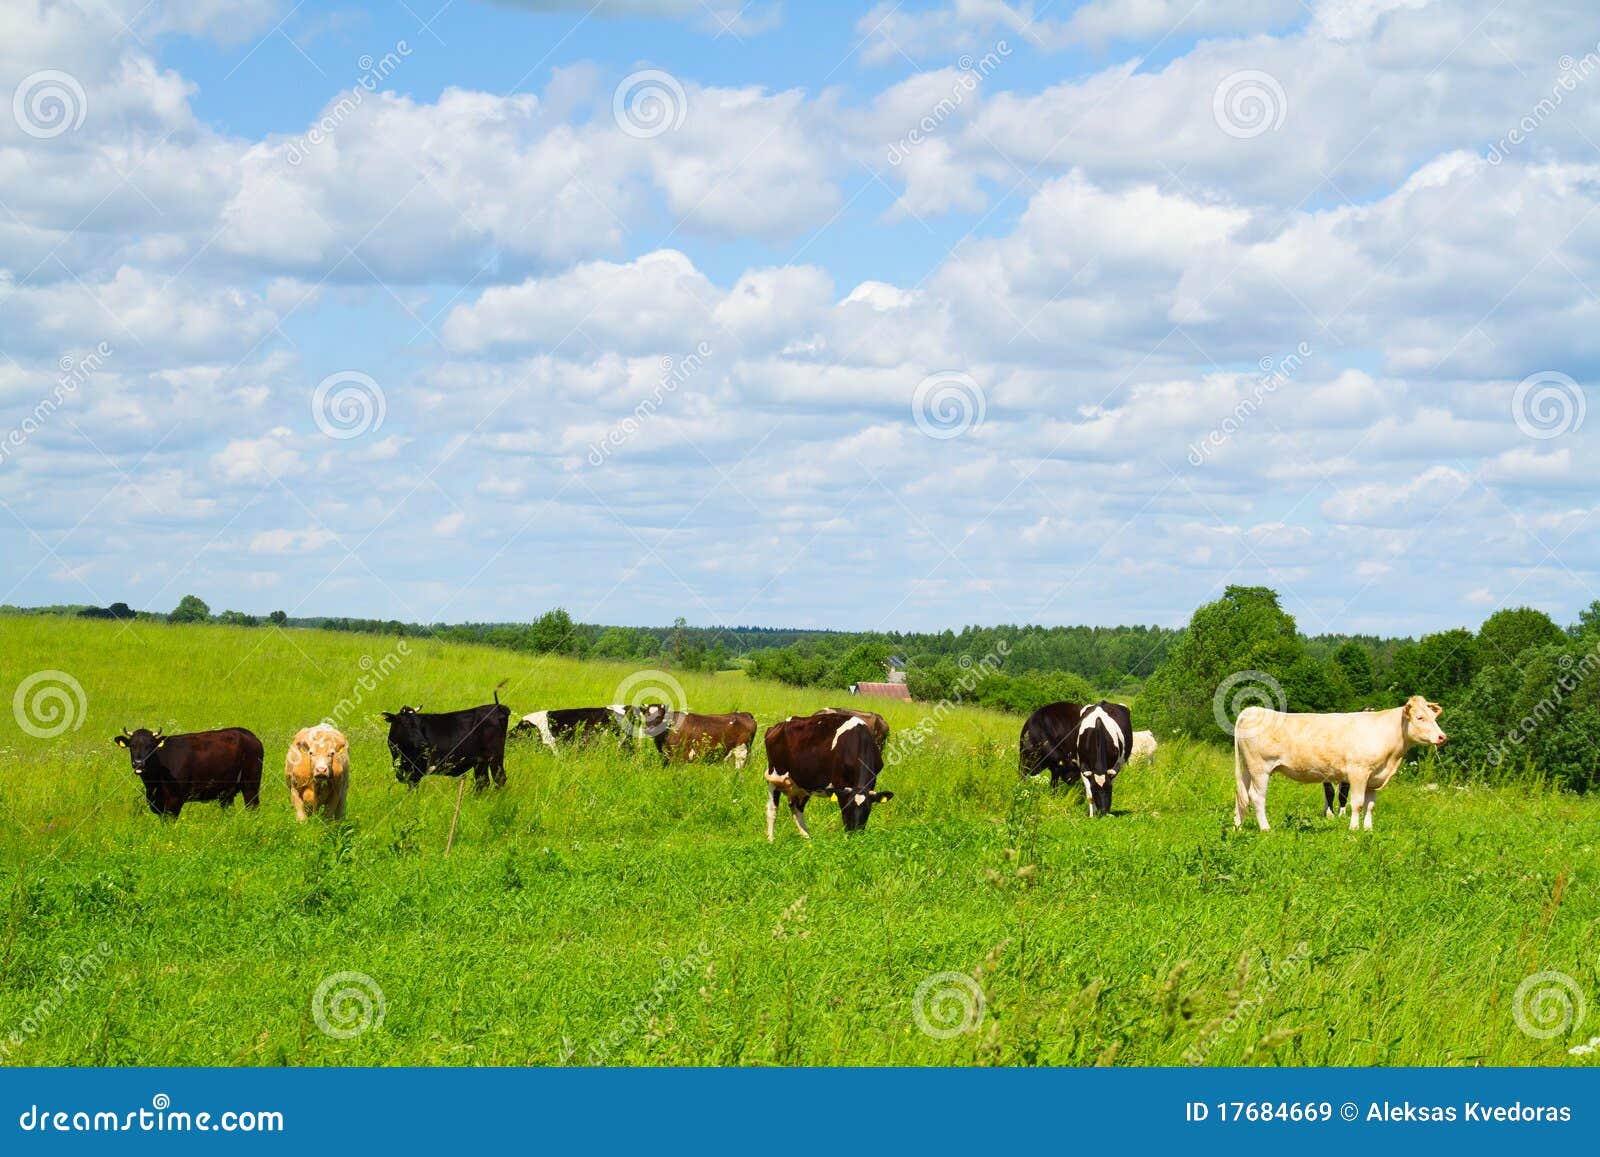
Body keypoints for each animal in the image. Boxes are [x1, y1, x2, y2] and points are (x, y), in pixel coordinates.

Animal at [112, 727, 263, 817]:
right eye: (132, 746)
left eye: (150, 746)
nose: (139, 763)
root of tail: (247, 733)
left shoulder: (174, 800)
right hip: (227, 791)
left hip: (251, 785)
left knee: (253, 808)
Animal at [383, 690, 511, 788]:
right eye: (405, 724)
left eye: (420, 724)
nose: (424, 744)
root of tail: (499, 707)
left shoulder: (415, 773)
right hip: (480, 761)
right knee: (483, 782)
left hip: (495, 757)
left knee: (499, 779)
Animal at [763, 712, 894, 840]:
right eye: (846, 809)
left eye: (868, 810)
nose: (855, 835)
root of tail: (776, 727)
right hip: (774, 777)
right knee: (772, 809)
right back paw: (771, 840)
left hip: (803, 783)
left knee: (796, 807)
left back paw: (807, 838)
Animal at [1233, 696, 1447, 832]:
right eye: (1420, 717)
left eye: (1434, 717)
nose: (1442, 737)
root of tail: (1252, 710)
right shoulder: (1358, 772)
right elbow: (1357, 803)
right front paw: (1353, 830)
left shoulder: (1375, 778)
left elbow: (1370, 805)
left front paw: (1368, 830)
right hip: (1260, 768)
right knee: (1256, 797)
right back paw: (1265, 829)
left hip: (1248, 768)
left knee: (1241, 794)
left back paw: (1238, 827)